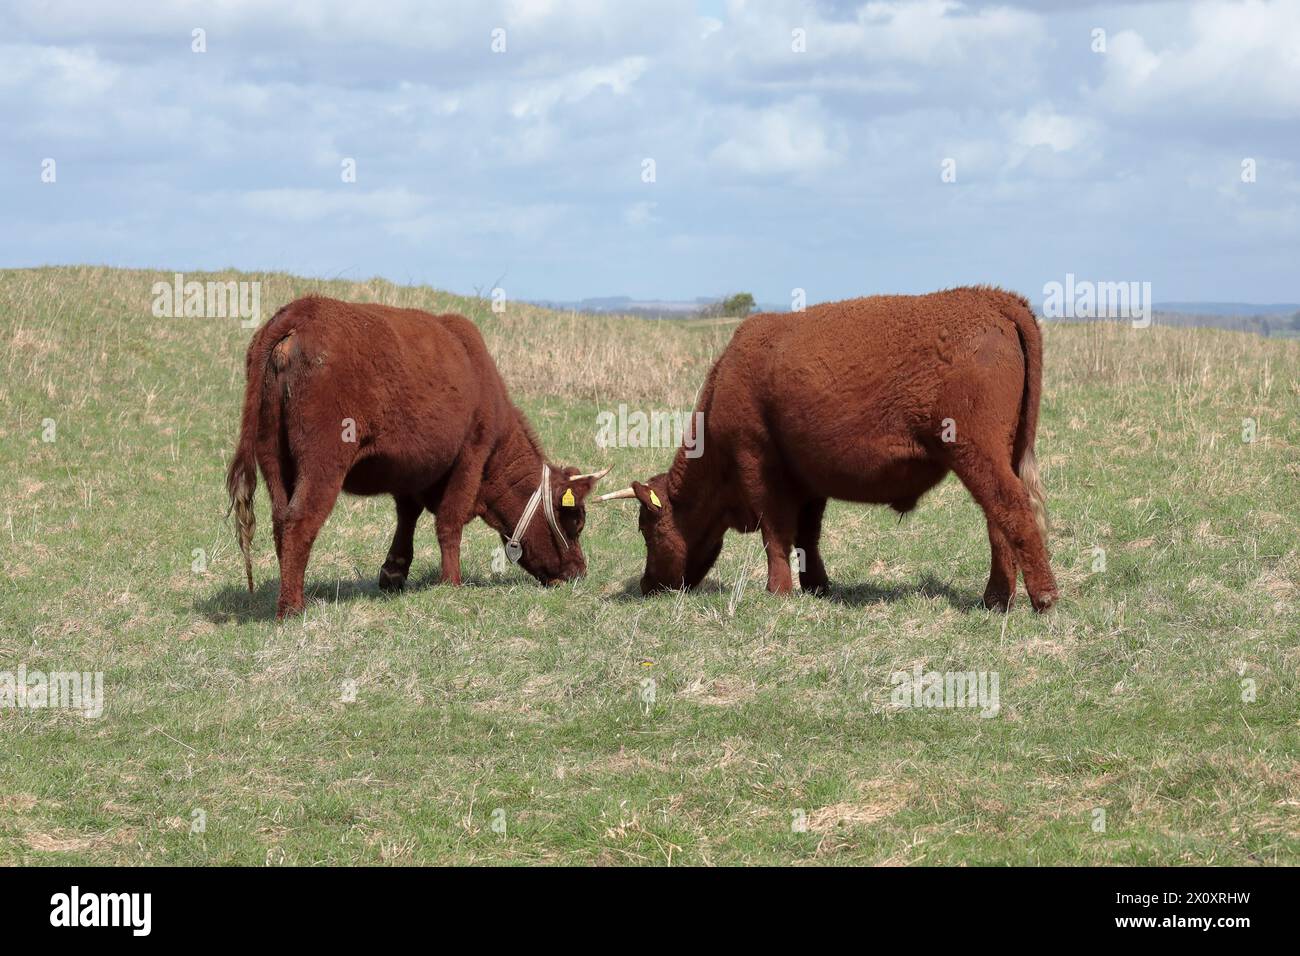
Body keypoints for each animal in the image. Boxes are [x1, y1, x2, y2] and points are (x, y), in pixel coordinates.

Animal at [226, 296, 612, 618]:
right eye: (575, 520)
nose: (578, 572)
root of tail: (302, 309)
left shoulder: (409, 467)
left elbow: (407, 516)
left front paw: (394, 572)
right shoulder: (470, 455)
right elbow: (449, 523)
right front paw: (451, 582)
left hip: (272, 459)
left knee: (280, 520)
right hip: (323, 461)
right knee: (298, 521)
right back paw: (293, 608)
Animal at [596, 287, 1060, 612]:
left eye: (647, 529)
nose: (647, 586)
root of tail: (992, 298)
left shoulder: (758, 463)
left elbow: (775, 531)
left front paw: (779, 590)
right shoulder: (807, 476)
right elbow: (807, 534)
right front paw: (816, 585)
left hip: (977, 453)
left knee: (1011, 509)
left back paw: (1041, 598)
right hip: (1000, 454)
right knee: (999, 520)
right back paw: (996, 599)